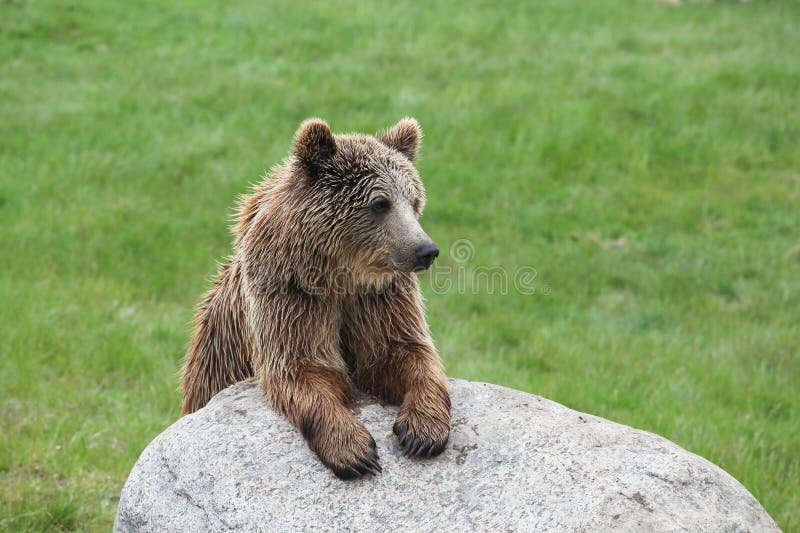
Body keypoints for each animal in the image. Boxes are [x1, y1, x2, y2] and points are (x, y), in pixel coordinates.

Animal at [180, 118, 451, 478]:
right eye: (380, 203)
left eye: (414, 199)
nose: (426, 250)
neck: (339, 277)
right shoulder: (291, 294)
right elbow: (304, 367)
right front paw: (354, 450)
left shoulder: (379, 297)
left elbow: (403, 352)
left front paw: (423, 431)